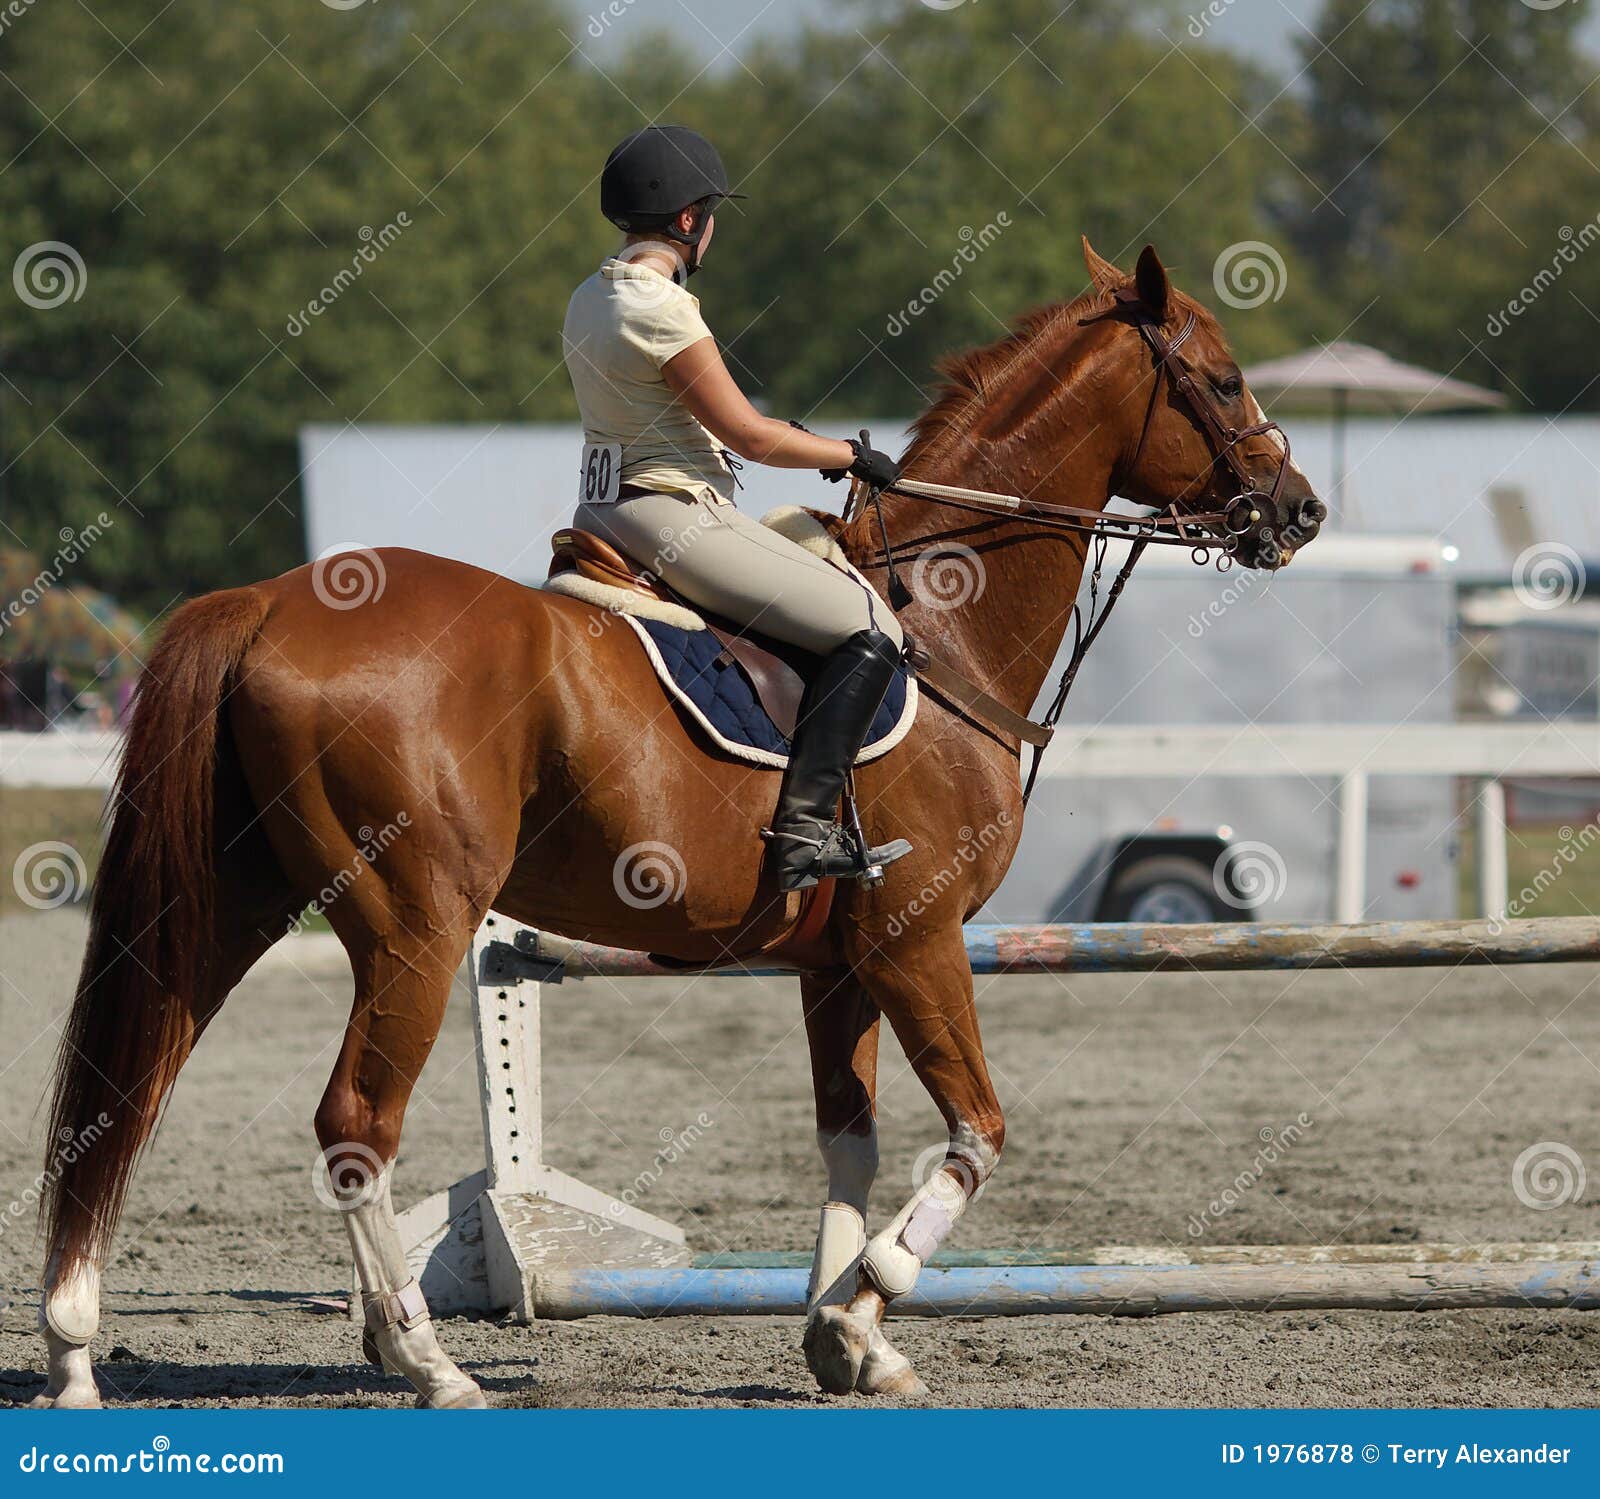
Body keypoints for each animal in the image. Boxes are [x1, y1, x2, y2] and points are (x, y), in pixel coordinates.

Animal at [34, 239, 1320, 1407]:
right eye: (1219, 379)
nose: (1299, 510)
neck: (940, 620)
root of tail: (266, 601)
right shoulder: (916, 935)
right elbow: (978, 1129)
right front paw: (867, 1300)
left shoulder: (839, 960)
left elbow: (847, 1138)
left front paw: (842, 1337)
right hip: (416, 921)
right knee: (353, 1120)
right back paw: (426, 1358)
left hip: (232, 901)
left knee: (131, 1085)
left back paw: (73, 1351)